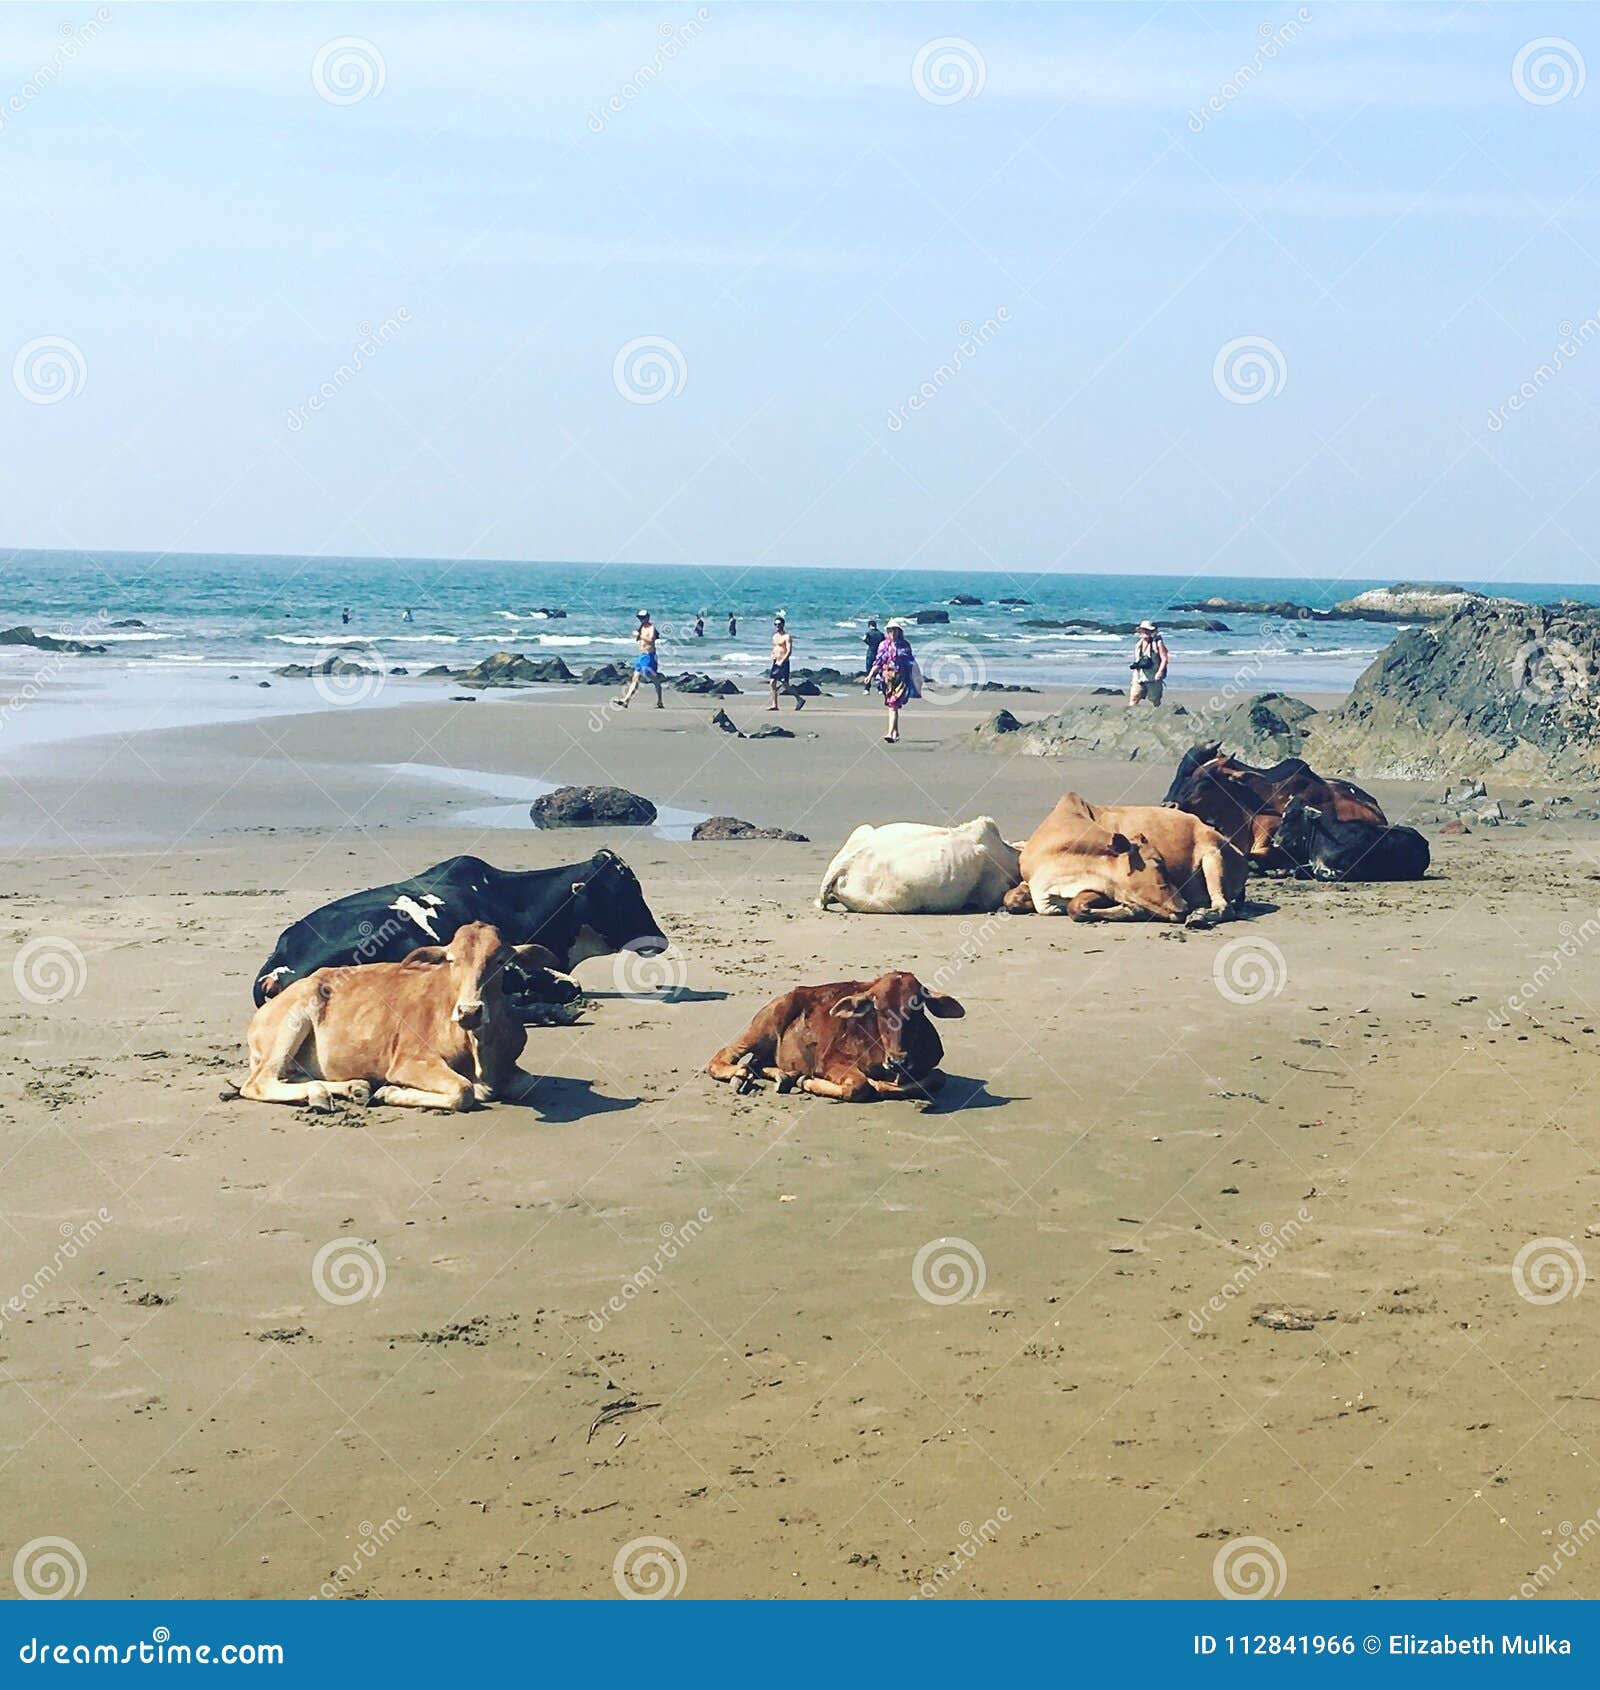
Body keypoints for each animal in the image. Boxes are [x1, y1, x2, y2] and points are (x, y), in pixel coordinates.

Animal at [234, 922, 541, 1112]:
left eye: (500, 961)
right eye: (452, 960)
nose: (469, 1011)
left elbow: (527, 1083)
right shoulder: (409, 1060)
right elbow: (463, 1091)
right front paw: (391, 1092)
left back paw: (354, 1088)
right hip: (291, 1022)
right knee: (258, 1083)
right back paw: (321, 1095)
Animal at [706, 972, 964, 1102]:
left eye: (917, 1008)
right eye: (878, 1008)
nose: (898, 1061)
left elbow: (938, 1078)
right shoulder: (830, 1062)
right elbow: (860, 1086)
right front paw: (808, 1081)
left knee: (759, 1063)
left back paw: (785, 1076)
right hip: (762, 1028)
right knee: (724, 1056)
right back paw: (741, 1073)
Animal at [1002, 792, 1246, 926]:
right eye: (1157, 862)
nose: (1183, 905)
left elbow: (1076, 906)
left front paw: (1133, 910)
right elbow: (1010, 899)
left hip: (1213, 857)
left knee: (1224, 906)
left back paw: (1199, 916)